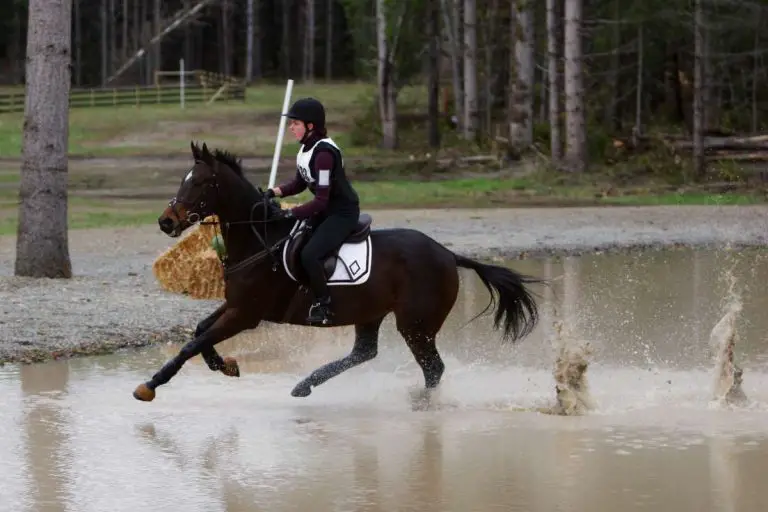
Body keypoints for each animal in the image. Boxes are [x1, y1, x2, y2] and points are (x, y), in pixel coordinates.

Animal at [132, 141, 542, 402]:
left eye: (201, 182)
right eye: (183, 180)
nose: (165, 221)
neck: (259, 238)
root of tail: (448, 254)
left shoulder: (246, 314)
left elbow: (193, 343)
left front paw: (151, 384)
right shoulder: (235, 306)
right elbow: (200, 332)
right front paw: (225, 365)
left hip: (416, 325)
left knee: (433, 369)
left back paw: (423, 404)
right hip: (373, 312)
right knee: (365, 352)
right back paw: (305, 385)